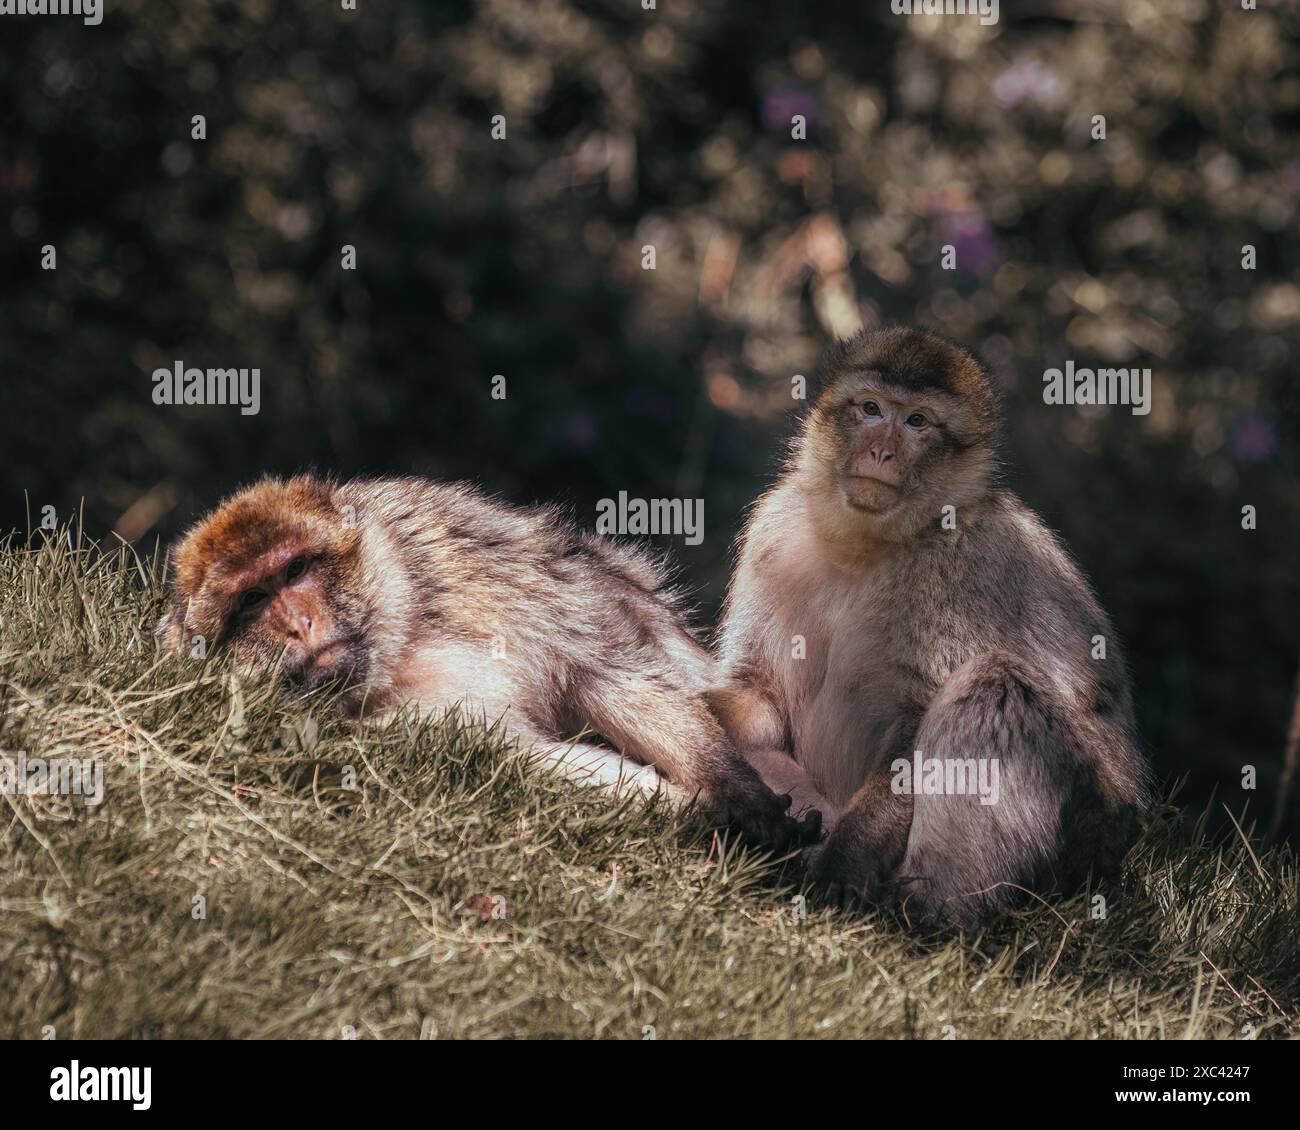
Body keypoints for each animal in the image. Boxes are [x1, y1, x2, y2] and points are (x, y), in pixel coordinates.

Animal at [155, 473, 816, 852]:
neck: (399, 645)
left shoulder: (468, 559)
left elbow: (605, 669)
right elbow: (519, 759)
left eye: (295, 569)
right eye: (252, 601)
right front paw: (696, 811)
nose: (299, 623)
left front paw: (732, 790)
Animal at [710, 326, 1152, 926]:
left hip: (1087, 841)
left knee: (995, 684)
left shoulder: (959, 566)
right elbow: (759, 703)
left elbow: (917, 720)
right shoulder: (771, 532)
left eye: (917, 421)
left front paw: (848, 855)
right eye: (872, 409)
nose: (881, 451)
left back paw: (926, 912)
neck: (868, 545)